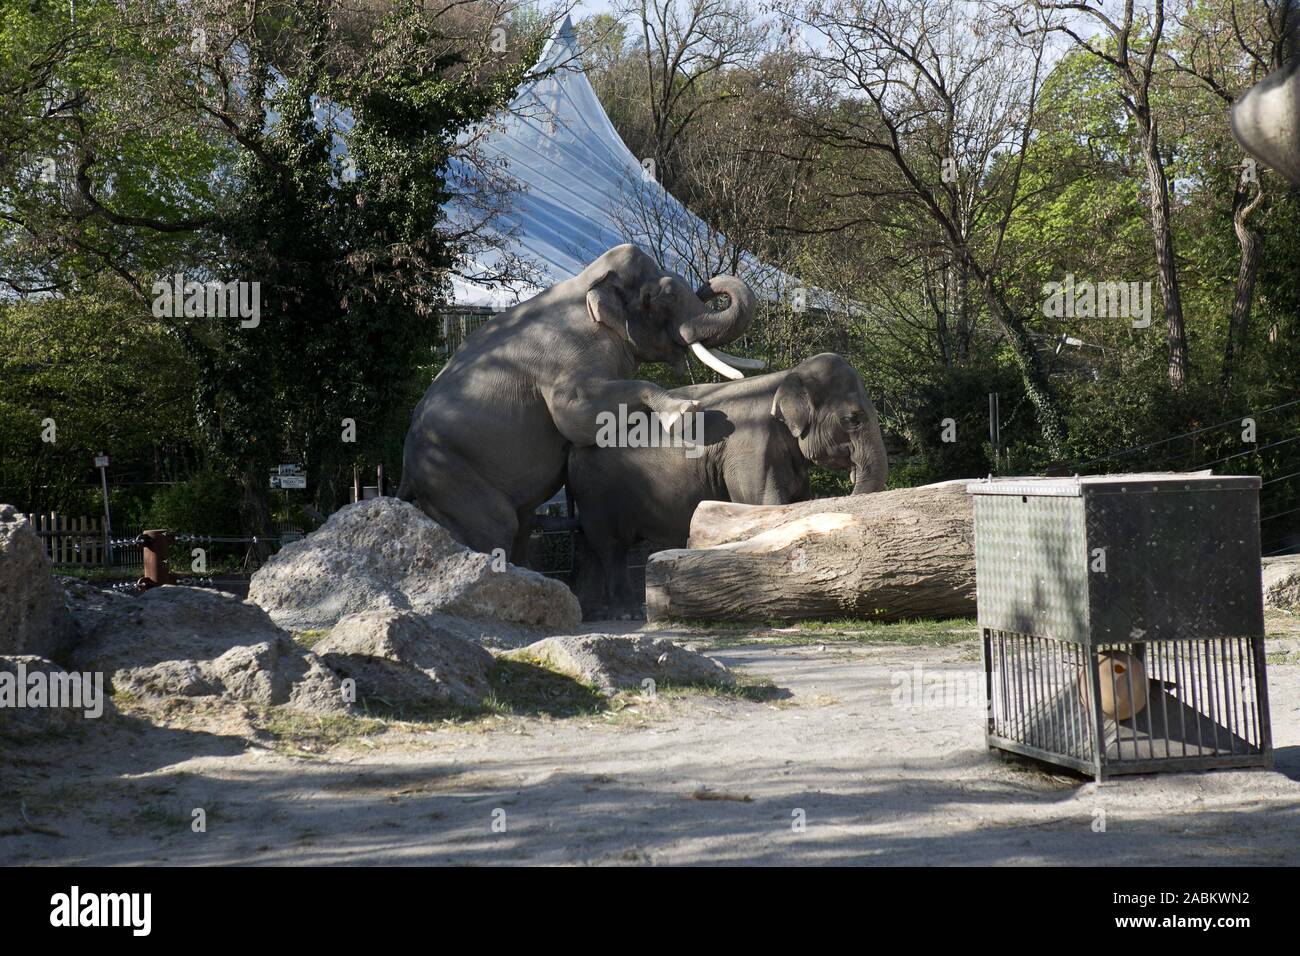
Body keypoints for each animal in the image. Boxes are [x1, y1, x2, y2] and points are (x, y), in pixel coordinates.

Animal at [397, 243, 760, 560]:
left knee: (519, 526)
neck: (589, 281)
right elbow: (574, 418)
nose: (707, 287)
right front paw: (684, 412)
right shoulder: (563, 358)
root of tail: (405, 466)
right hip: (449, 474)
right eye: (667, 294)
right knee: (496, 529)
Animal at [568, 352, 888, 617]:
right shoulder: (750, 450)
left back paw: (591, 611)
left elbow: (794, 504)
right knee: (610, 548)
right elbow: (764, 503)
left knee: (590, 547)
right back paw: (625, 614)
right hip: (597, 491)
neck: (784, 377)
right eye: (852, 419)